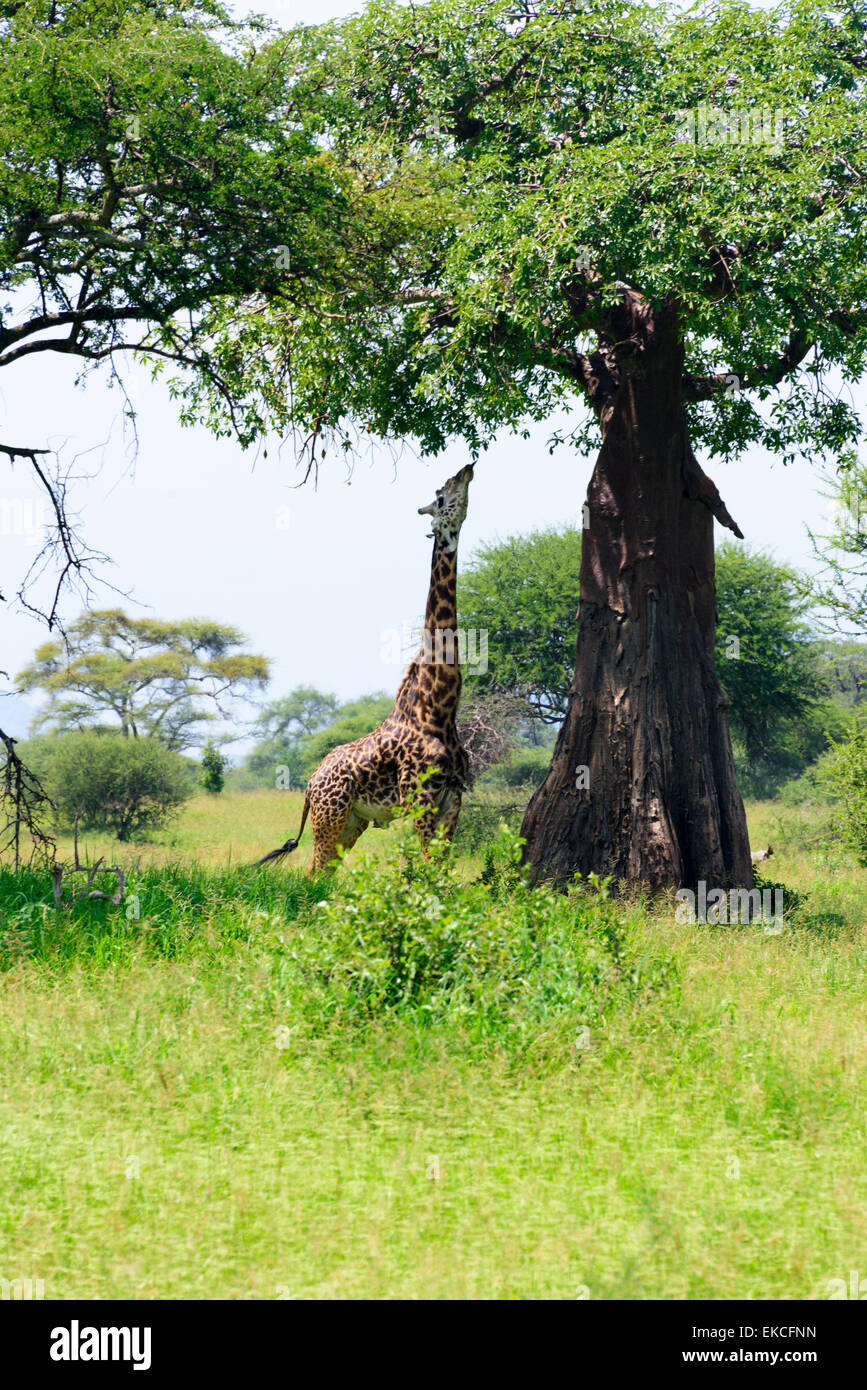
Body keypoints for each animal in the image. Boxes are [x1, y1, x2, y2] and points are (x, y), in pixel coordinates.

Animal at [255, 464, 474, 873]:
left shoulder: (453, 797)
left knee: (321, 874)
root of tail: (309, 783)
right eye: (440, 495)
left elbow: (442, 870)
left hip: (352, 822)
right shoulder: (420, 800)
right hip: (330, 816)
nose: (467, 469)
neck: (438, 709)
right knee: (311, 871)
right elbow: (428, 870)